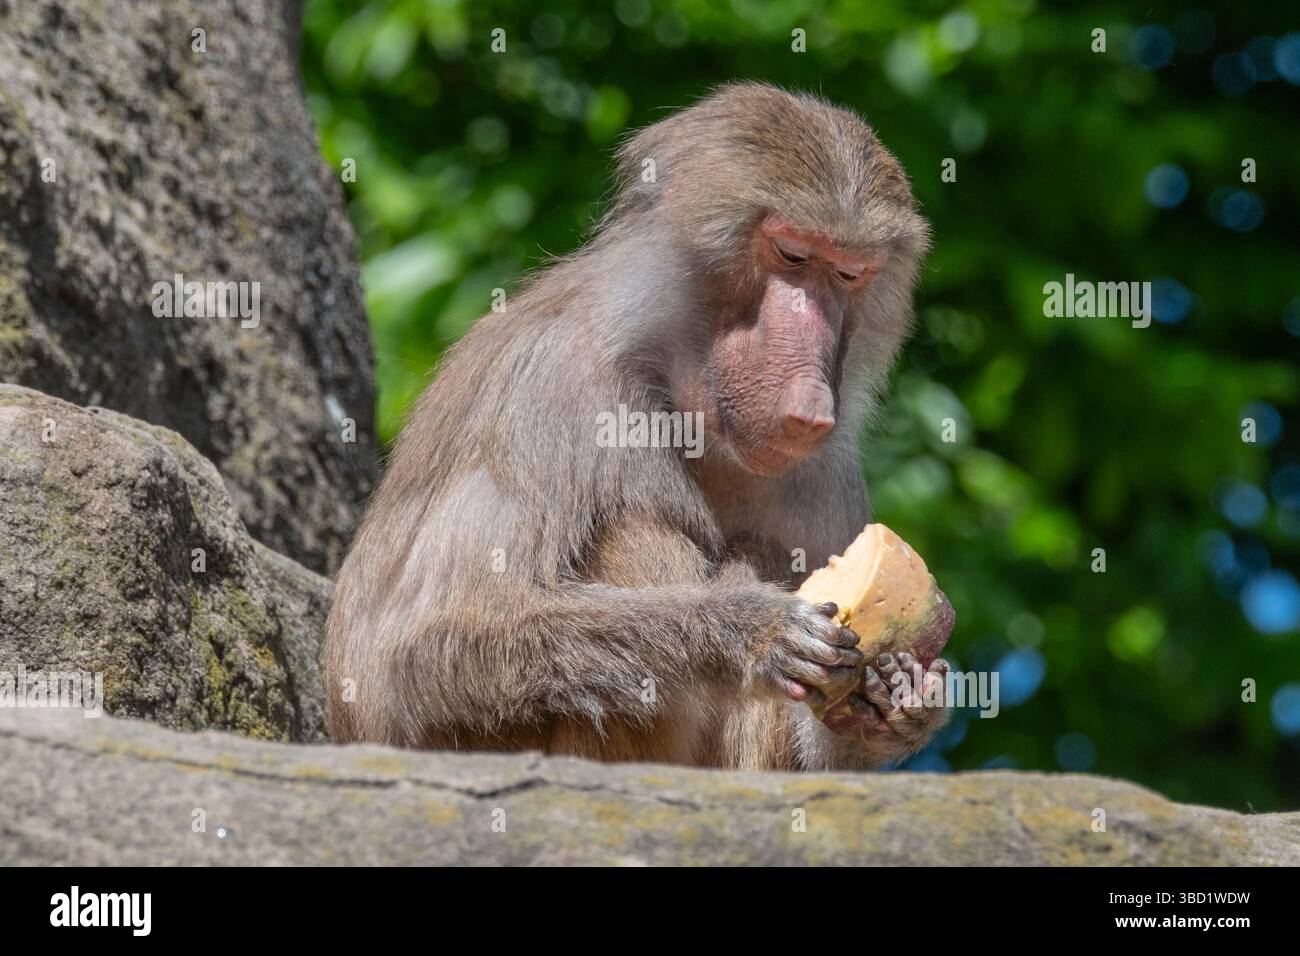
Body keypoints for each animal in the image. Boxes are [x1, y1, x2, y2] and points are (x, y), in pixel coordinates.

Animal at [325, 82, 951, 771]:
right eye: (792, 255)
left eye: (848, 273)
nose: (813, 398)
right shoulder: (547, 386)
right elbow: (410, 651)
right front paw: (748, 629)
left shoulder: (830, 470)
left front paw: (892, 703)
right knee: (634, 534)